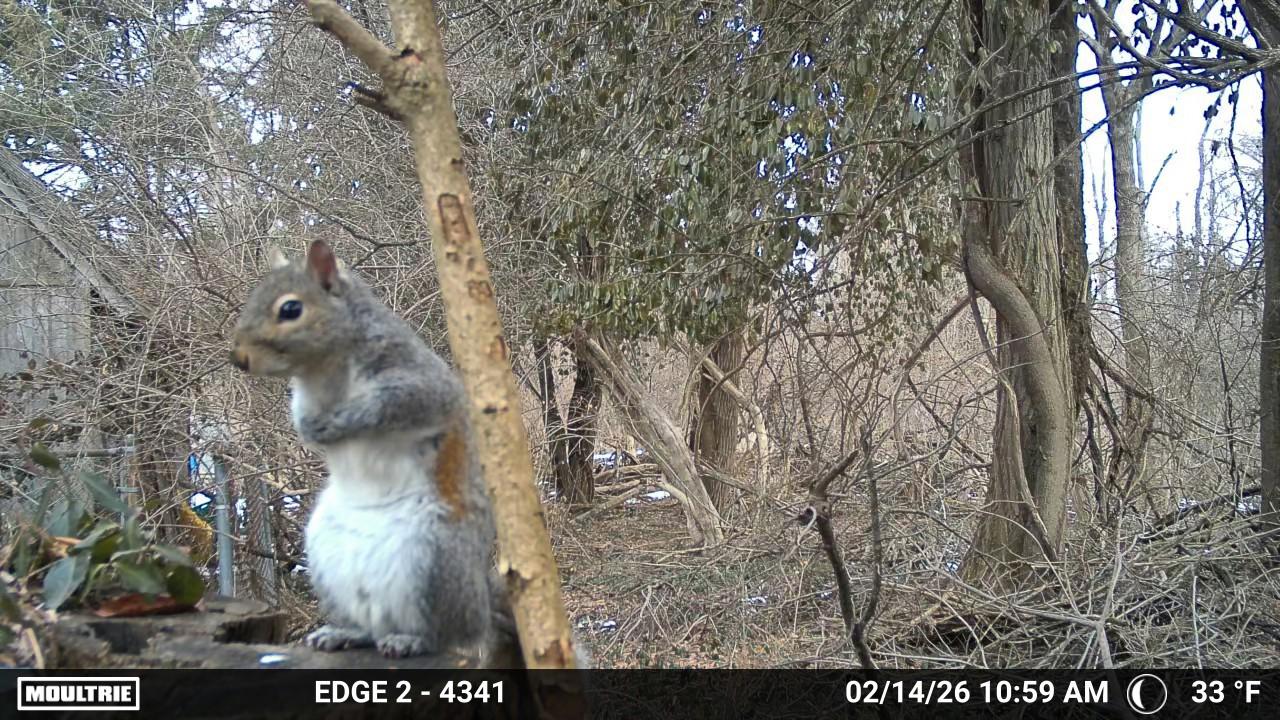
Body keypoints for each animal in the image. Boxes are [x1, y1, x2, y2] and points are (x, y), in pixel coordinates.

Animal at [229, 239, 514, 662]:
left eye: (291, 309)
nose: (239, 357)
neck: (323, 372)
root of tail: (480, 595)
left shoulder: (419, 380)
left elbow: (391, 406)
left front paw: (344, 420)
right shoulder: (303, 398)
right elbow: (301, 423)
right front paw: (312, 427)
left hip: (435, 557)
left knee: (447, 633)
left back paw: (411, 640)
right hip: (327, 555)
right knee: (368, 623)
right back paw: (344, 632)